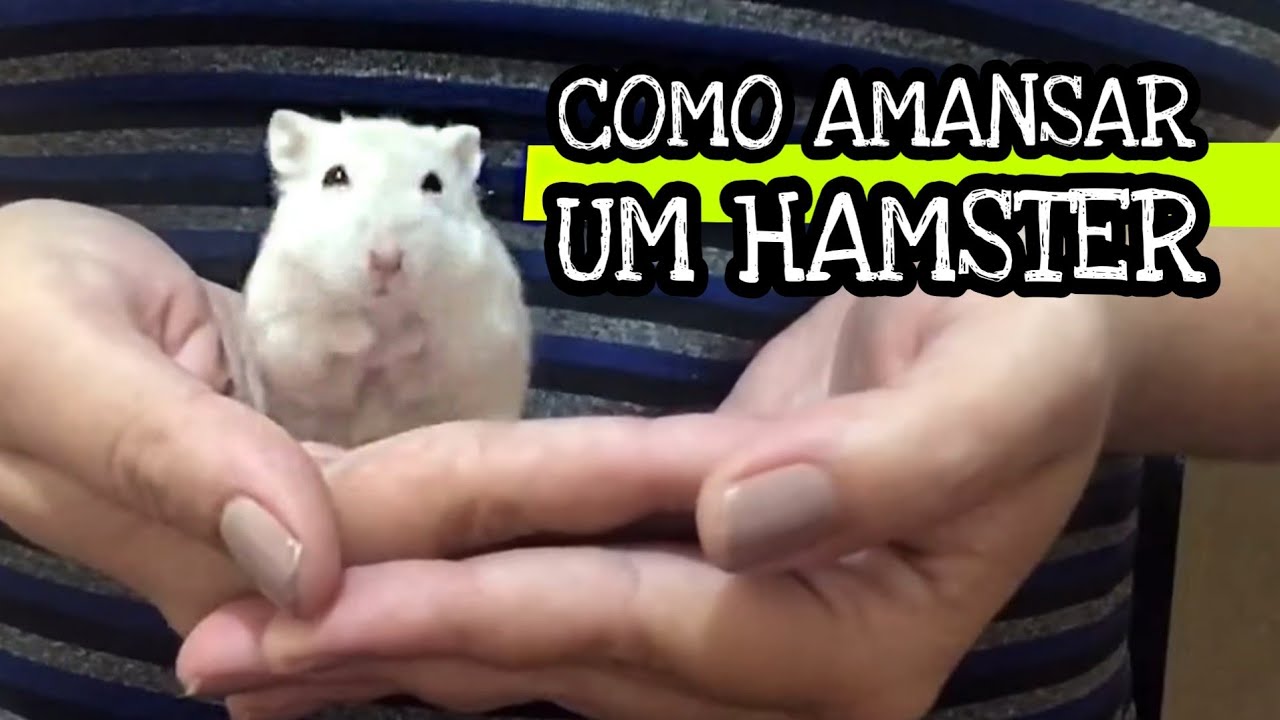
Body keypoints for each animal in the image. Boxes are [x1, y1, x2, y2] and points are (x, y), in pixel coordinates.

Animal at [236, 109, 532, 448]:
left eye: (434, 183)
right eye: (334, 176)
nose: (387, 261)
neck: (382, 314)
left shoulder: (475, 332)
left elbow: (428, 349)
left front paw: (400, 341)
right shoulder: (287, 330)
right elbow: (329, 339)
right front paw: (363, 338)